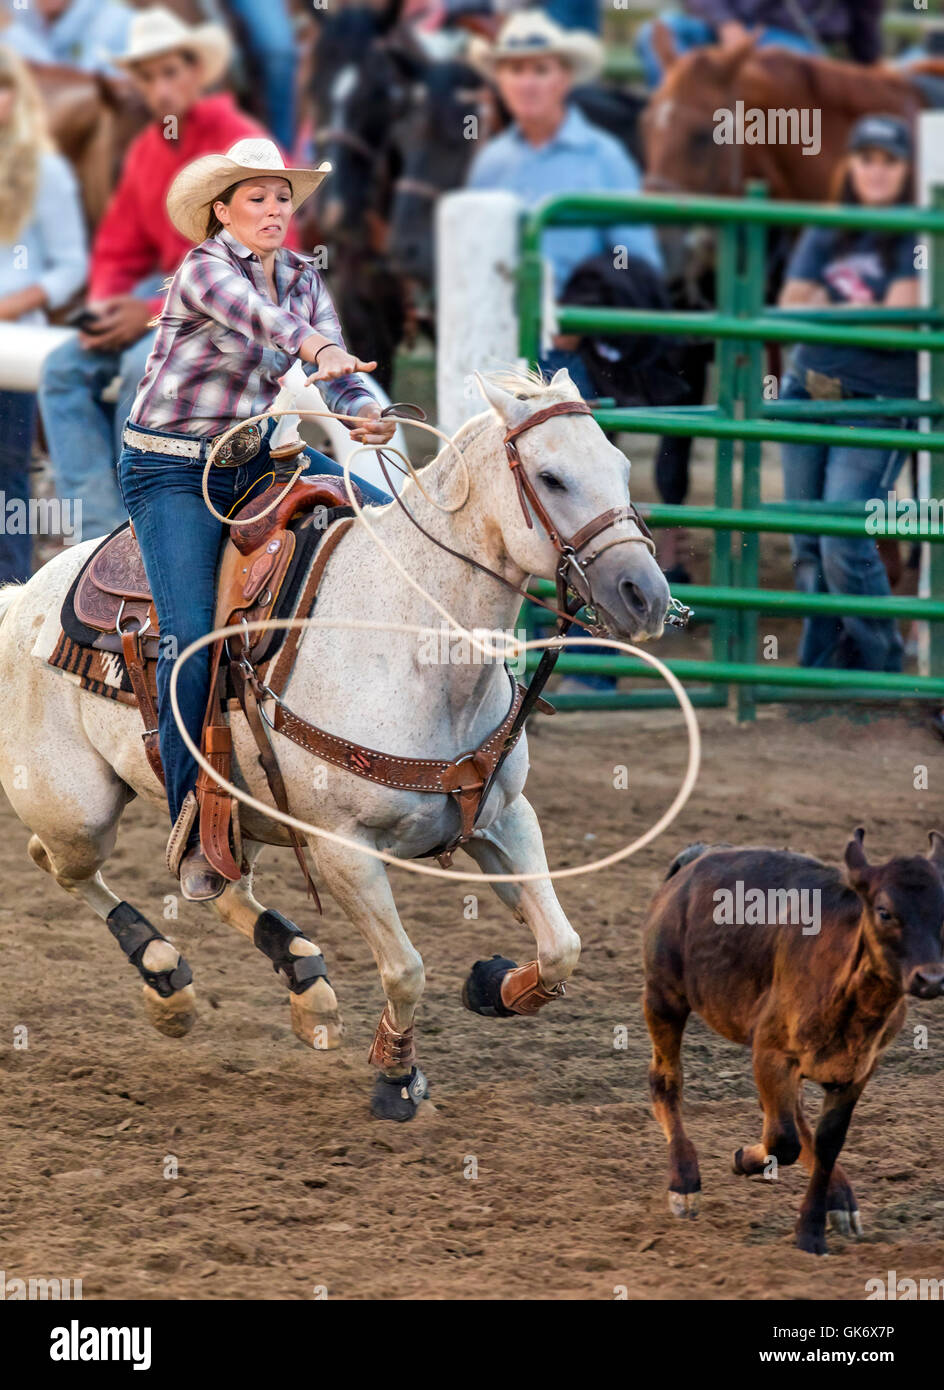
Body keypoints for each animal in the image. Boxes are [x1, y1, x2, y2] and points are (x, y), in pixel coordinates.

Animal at [0, 369, 670, 1122]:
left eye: (620, 466)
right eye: (552, 478)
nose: (644, 595)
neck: (416, 648)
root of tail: (22, 598)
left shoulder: (503, 818)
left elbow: (562, 947)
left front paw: (491, 983)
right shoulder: (345, 850)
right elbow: (405, 968)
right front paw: (396, 1078)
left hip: (236, 812)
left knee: (218, 880)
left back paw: (302, 978)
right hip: (75, 810)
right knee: (62, 863)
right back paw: (166, 978)